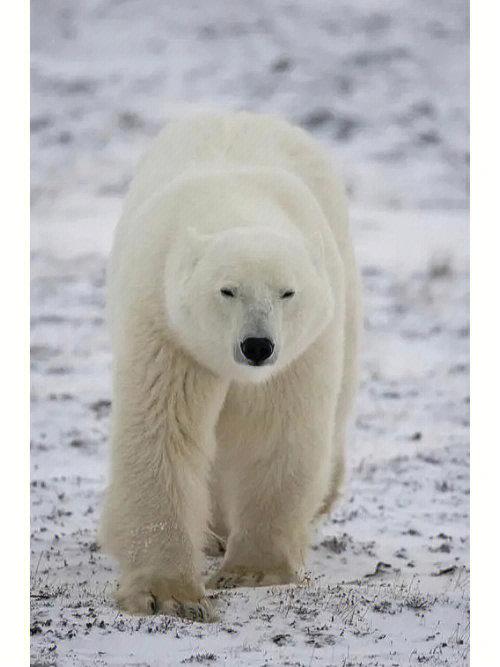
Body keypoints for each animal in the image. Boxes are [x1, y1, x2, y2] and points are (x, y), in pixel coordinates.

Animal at [99, 111, 362, 621]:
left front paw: (253, 571)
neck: (234, 199)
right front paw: (169, 594)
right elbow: (163, 432)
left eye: (287, 291)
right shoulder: (165, 324)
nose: (257, 346)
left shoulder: (301, 350)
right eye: (227, 290)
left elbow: (275, 431)